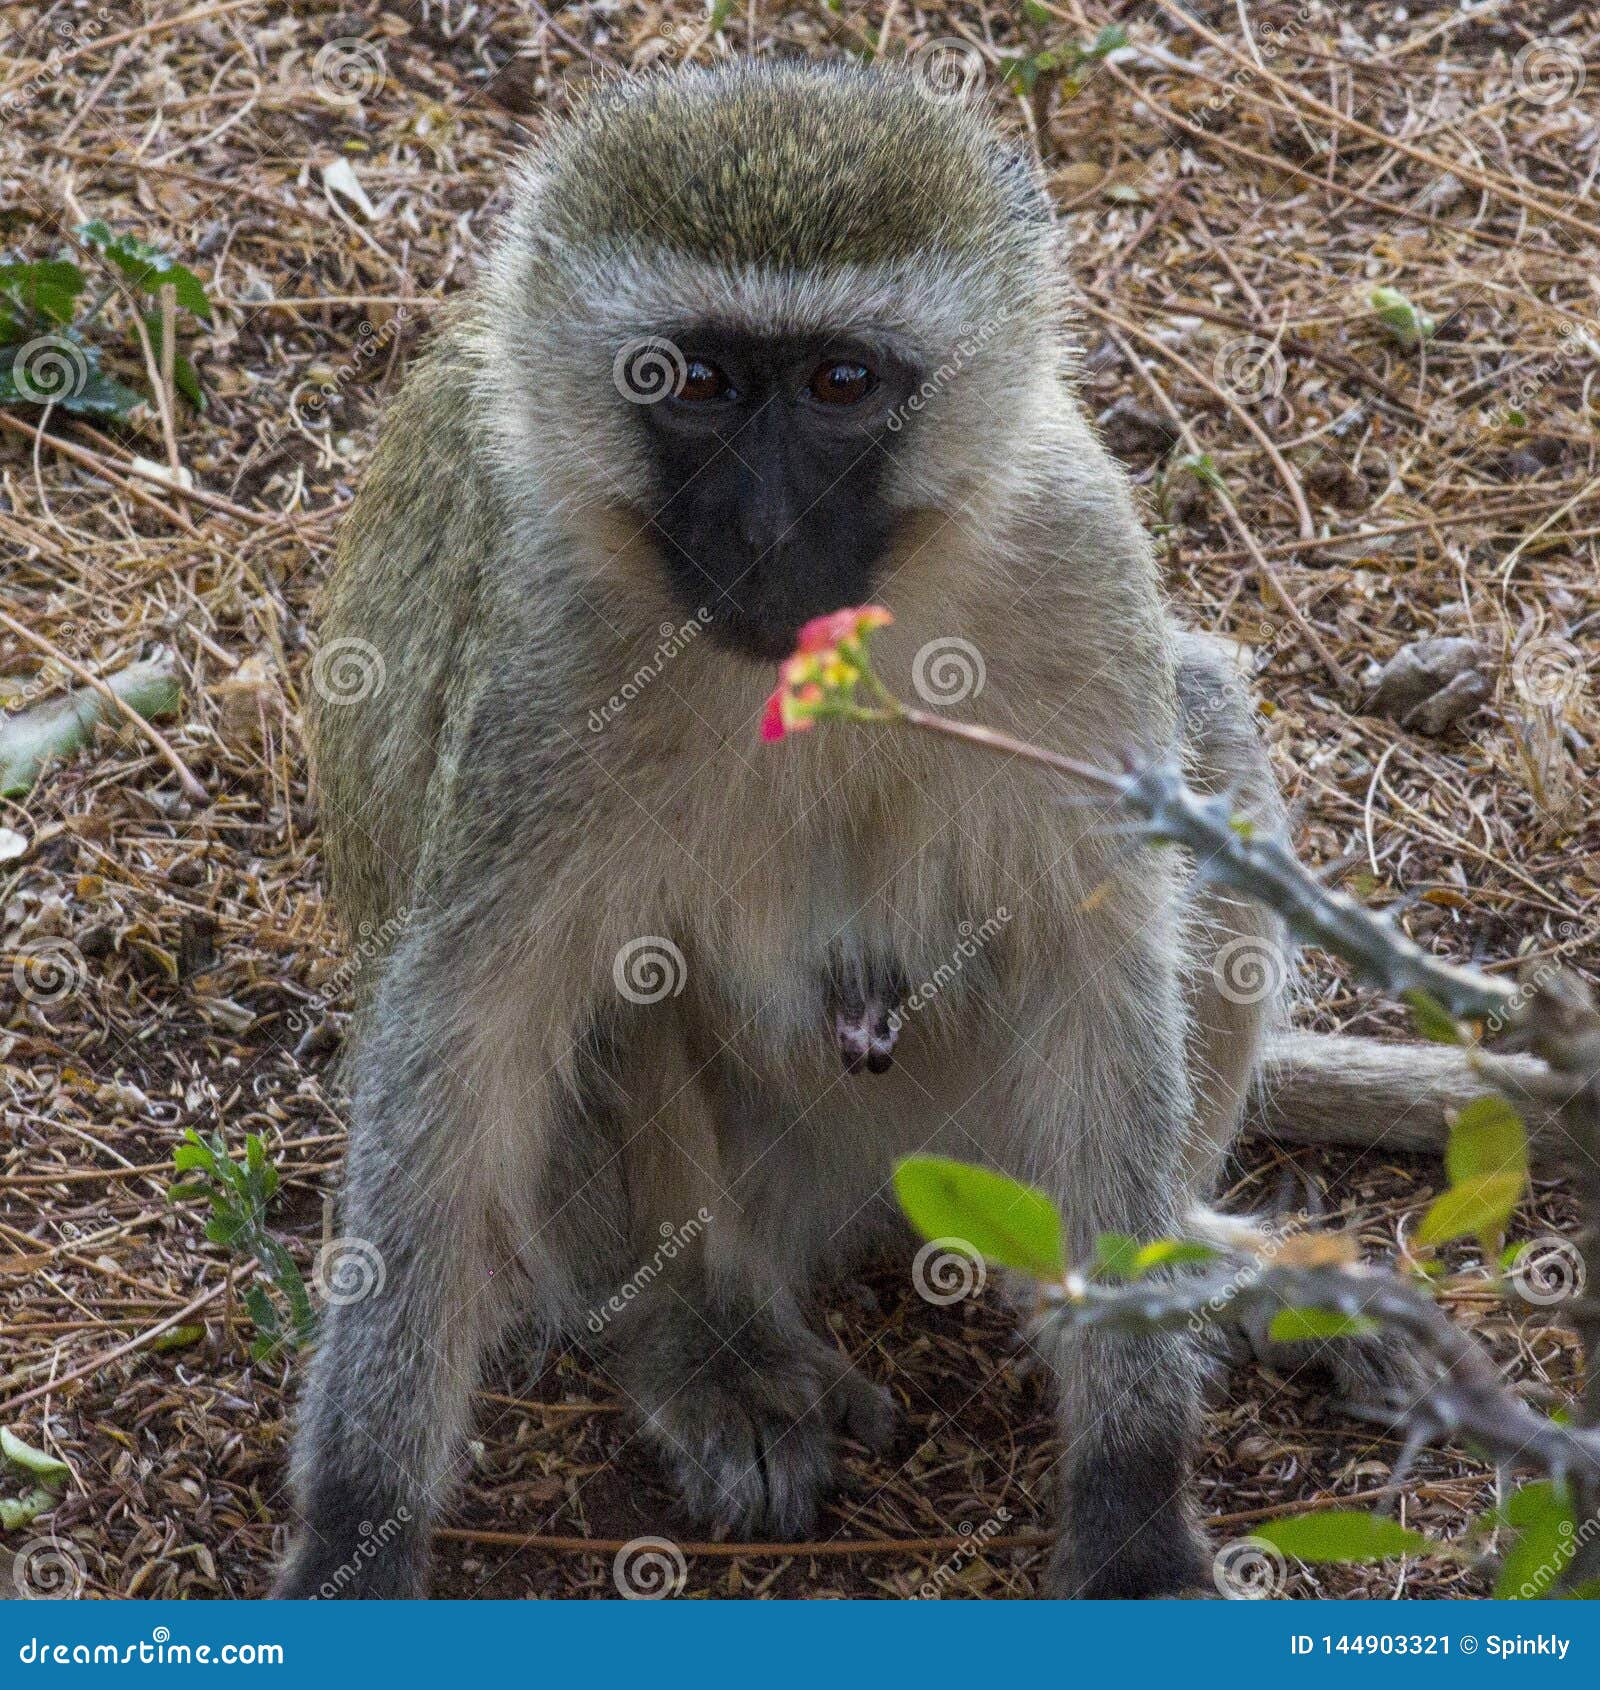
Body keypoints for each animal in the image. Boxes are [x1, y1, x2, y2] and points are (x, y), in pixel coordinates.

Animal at [275, 61, 1565, 1600]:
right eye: (692, 383)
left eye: (843, 384)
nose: (766, 535)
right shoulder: (538, 641)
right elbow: (470, 1020)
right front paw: (355, 1526)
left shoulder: (1074, 543)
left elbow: (1096, 948)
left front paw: (1133, 1497)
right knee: (611, 1002)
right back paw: (704, 1342)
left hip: (971, 1128)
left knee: (1196, 722)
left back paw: (1193, 1257)